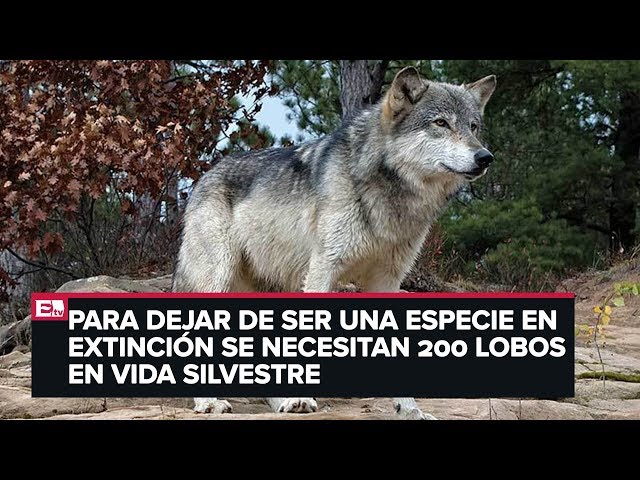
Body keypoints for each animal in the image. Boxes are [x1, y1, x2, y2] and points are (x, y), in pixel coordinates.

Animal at [172, 66, 497, 419]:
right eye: (441, 123)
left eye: (473, 126)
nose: (485, 157)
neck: (388, 193)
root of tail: (203, 178)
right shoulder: (323, 269)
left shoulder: (387, 279)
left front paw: (409, 409)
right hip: (219, 277)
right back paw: (210, 403)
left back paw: (283, 402)